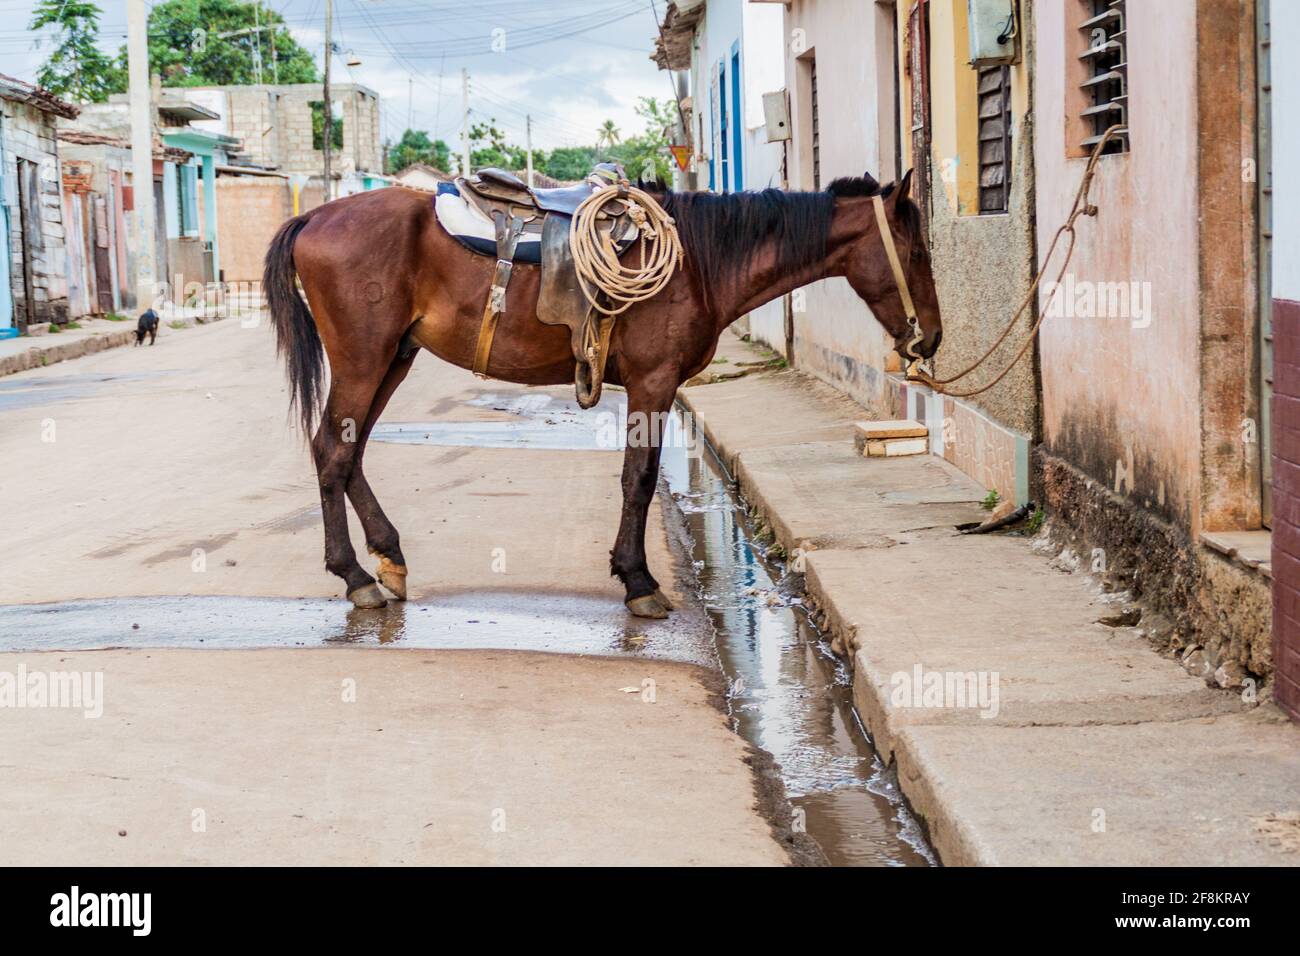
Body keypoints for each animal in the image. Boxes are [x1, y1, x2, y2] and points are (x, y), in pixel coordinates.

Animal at [262, 169, 942, 618]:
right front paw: (638, 581)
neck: (697, 260)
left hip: (393, 360)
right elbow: (638, 479)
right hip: (364, 359)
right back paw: (354, 576)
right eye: (915, 249)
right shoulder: (653, 383)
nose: (931, 337)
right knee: (333, 452)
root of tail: (315, 216)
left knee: (348, 452)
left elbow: (637, 477)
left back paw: (387, 558)